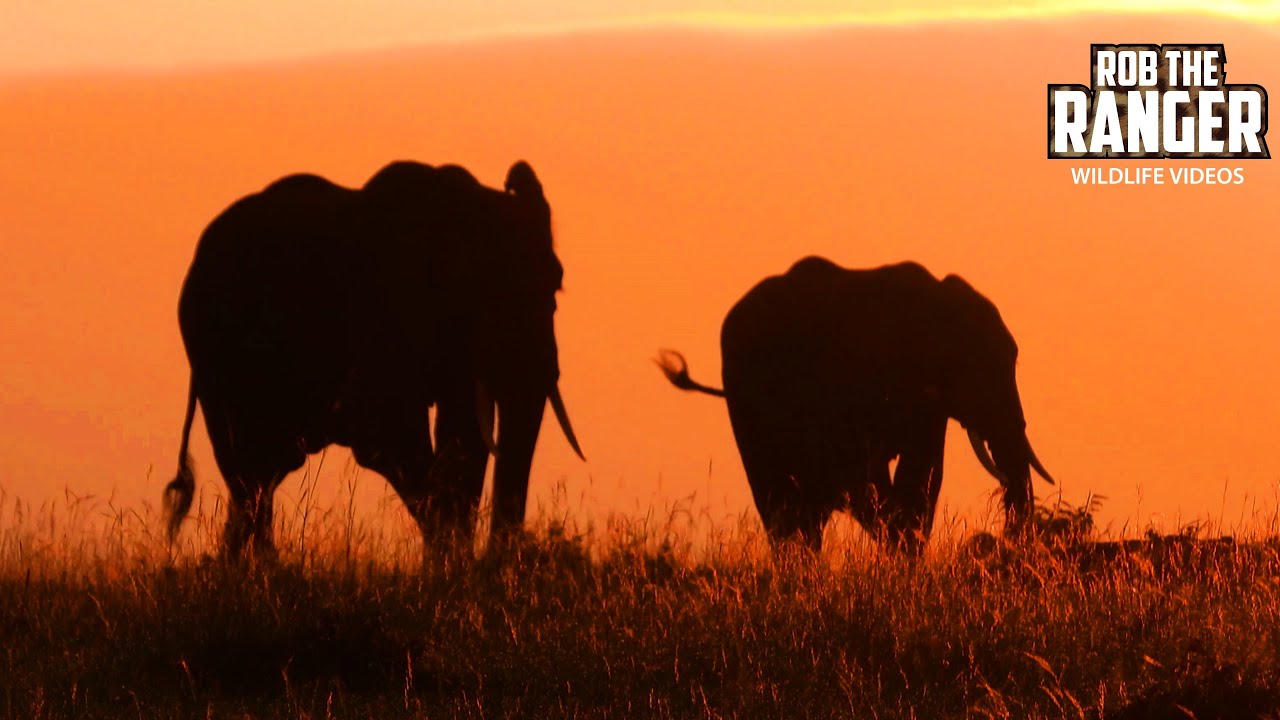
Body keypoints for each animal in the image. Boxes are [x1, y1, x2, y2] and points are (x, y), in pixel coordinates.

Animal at [165, 159, 584, 558]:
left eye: (556, 284)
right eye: (477, 290)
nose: (499, 560)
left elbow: (463, 440)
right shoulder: (383, 307)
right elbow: (382, 424)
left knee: (263, 468)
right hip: (209, 347)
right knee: (249, 464)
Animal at [657, 256, 1053, 553]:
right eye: (975, 366)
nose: (1008, 537)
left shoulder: (926, 404)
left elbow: (922, 475)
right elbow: (863, 475)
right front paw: (896, 541)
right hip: (746, 397)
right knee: (780, 497)